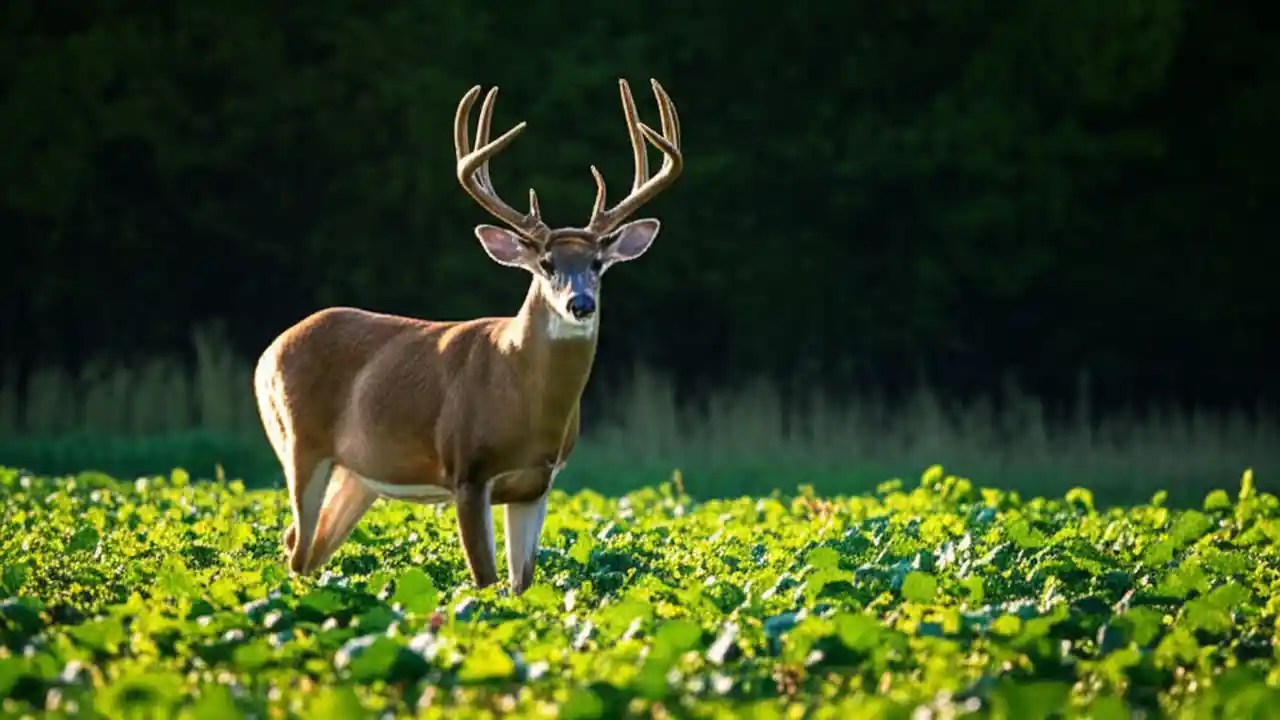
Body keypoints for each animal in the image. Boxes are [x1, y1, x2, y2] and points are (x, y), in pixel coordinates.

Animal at [252, 78, 683, 595]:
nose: (581, 304)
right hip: (298, 443)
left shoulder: (537, 485)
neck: (526, 402)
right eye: (546, 263)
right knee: (297, 547)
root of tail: (269, 351)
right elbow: (485, 581)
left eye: (598, 264)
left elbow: (521, 584)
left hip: (359, 475)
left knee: (306, 546)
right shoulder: (467, 472)